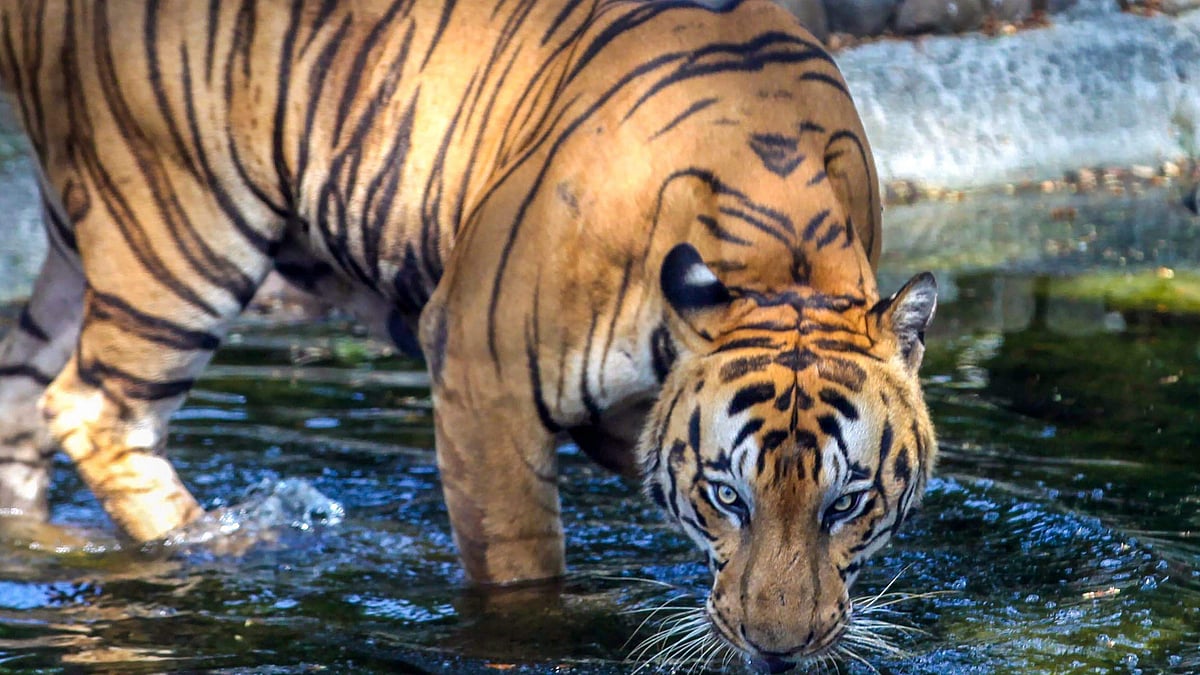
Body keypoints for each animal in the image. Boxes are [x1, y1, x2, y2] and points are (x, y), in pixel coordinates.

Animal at [0, 0, 937, 670]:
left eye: (845, 504)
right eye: (728, 496)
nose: (778, 651)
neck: (785, 260)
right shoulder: (483, 374)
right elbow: (521, 565)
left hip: (80, 245)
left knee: (22, 399)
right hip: (175, 230)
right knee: (94, 408)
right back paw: (224, 542)